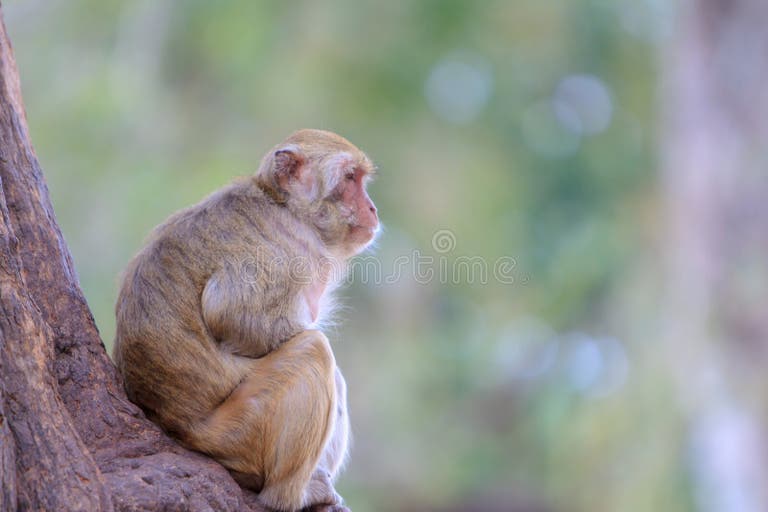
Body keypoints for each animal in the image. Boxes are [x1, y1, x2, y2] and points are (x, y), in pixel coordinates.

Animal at [112, 129, 379, 512]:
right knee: (313, 350)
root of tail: (178, 430)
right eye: (349, 178)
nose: (373, 209)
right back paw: (291, 495)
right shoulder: (284, 256)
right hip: (238, 434)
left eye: (359, 179)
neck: (283, 206)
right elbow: (228, 314)